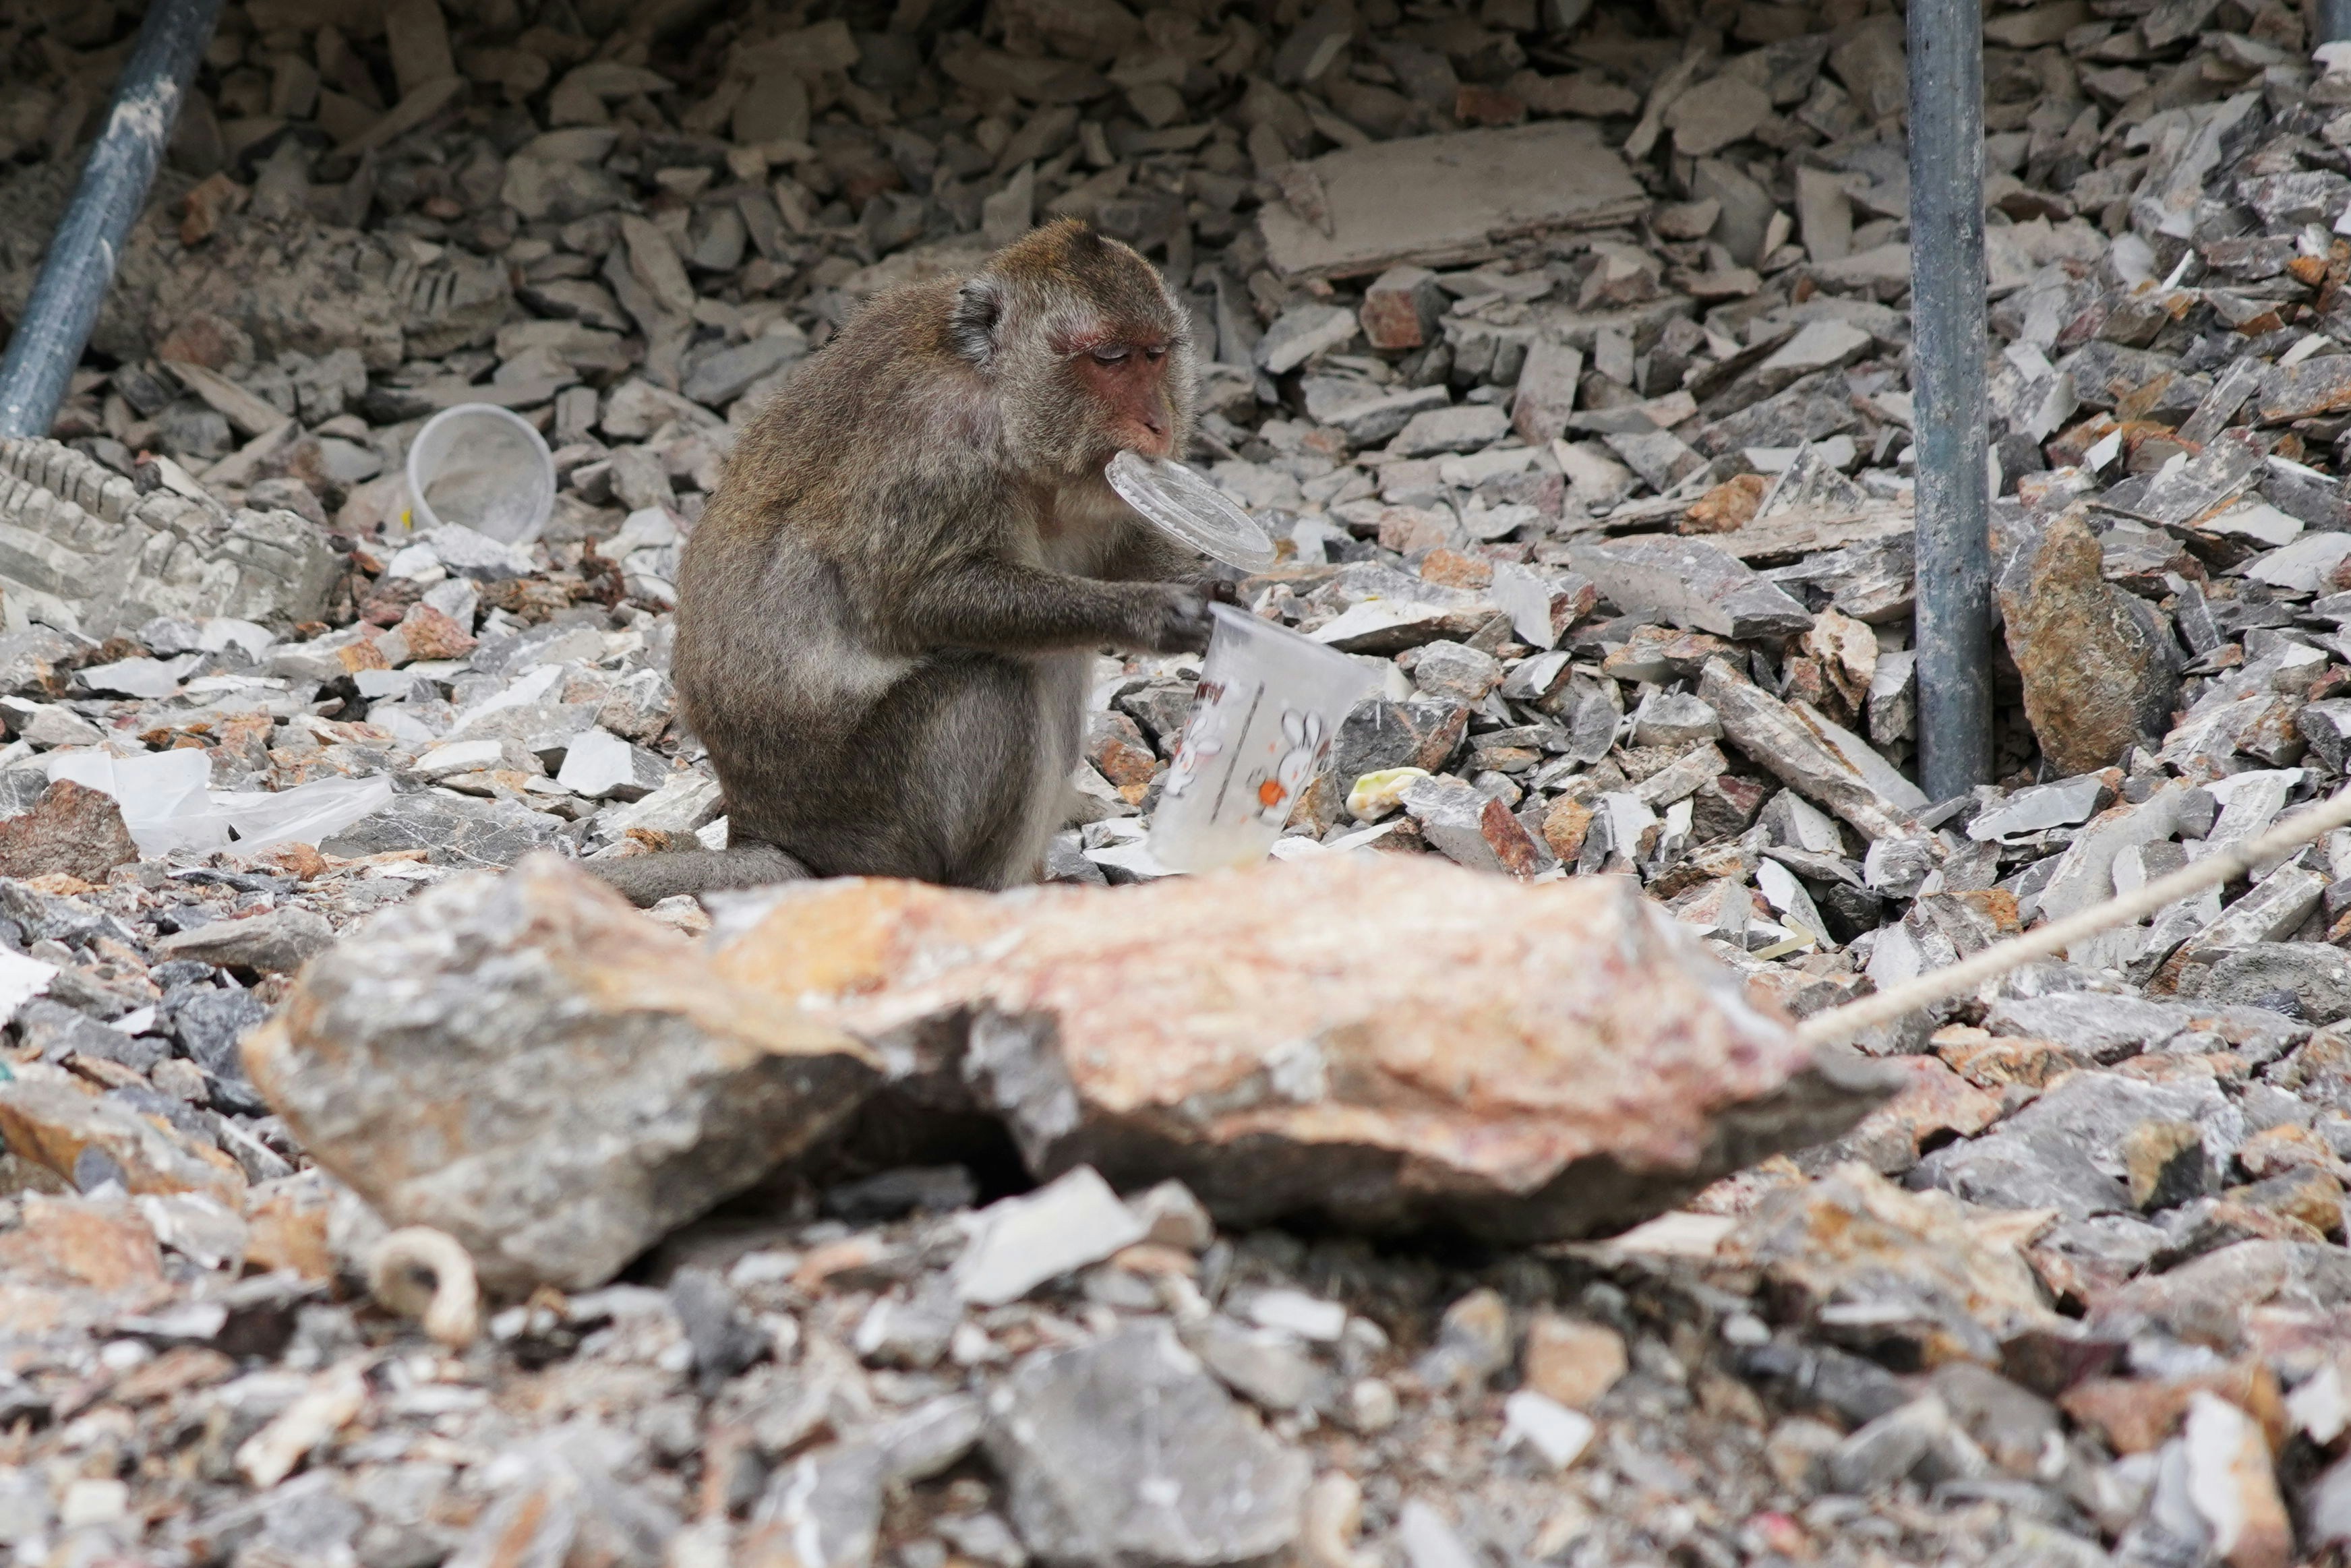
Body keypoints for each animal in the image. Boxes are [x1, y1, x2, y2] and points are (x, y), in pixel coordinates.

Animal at [590, 220, 1227, 907]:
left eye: (1155, 354)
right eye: (1108, 359)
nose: (1159, 423)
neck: (998, 397)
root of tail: (768, 832)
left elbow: (1114, 547)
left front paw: (1218, 588)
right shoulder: (938, 452)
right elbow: (921, 598)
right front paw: (1150, 612)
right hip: (872, 820)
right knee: (998, 678)